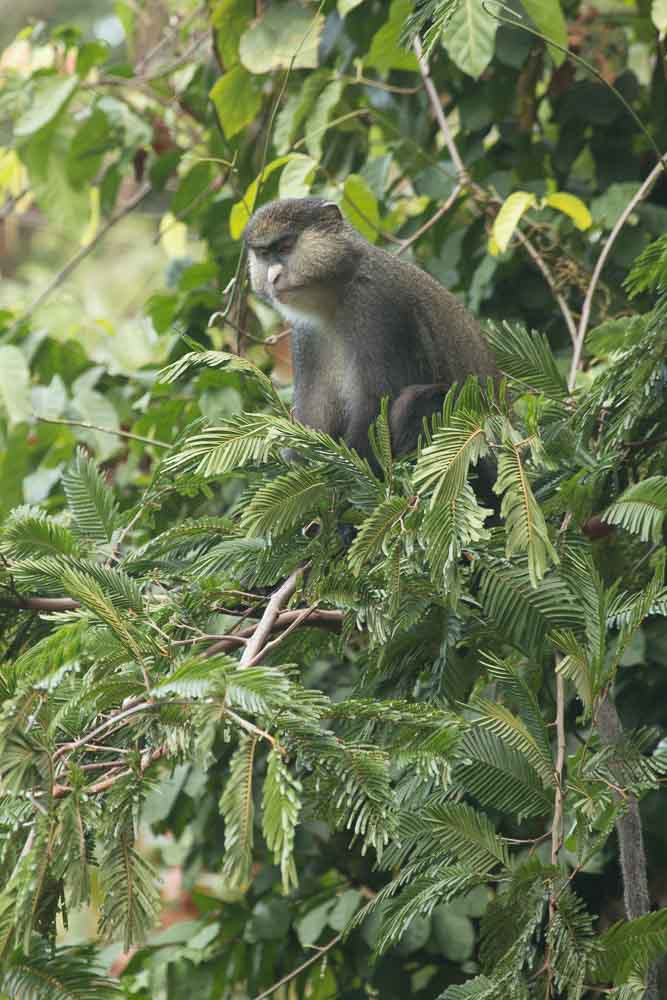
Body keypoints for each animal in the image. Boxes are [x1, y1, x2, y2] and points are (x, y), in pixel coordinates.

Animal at [243, 197, 498, 474]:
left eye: (285, 246)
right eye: (264, 254)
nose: (273, 277)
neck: (336, 295)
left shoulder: (377, 304)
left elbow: (375, 414)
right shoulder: (305, 335)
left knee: (420, 401)